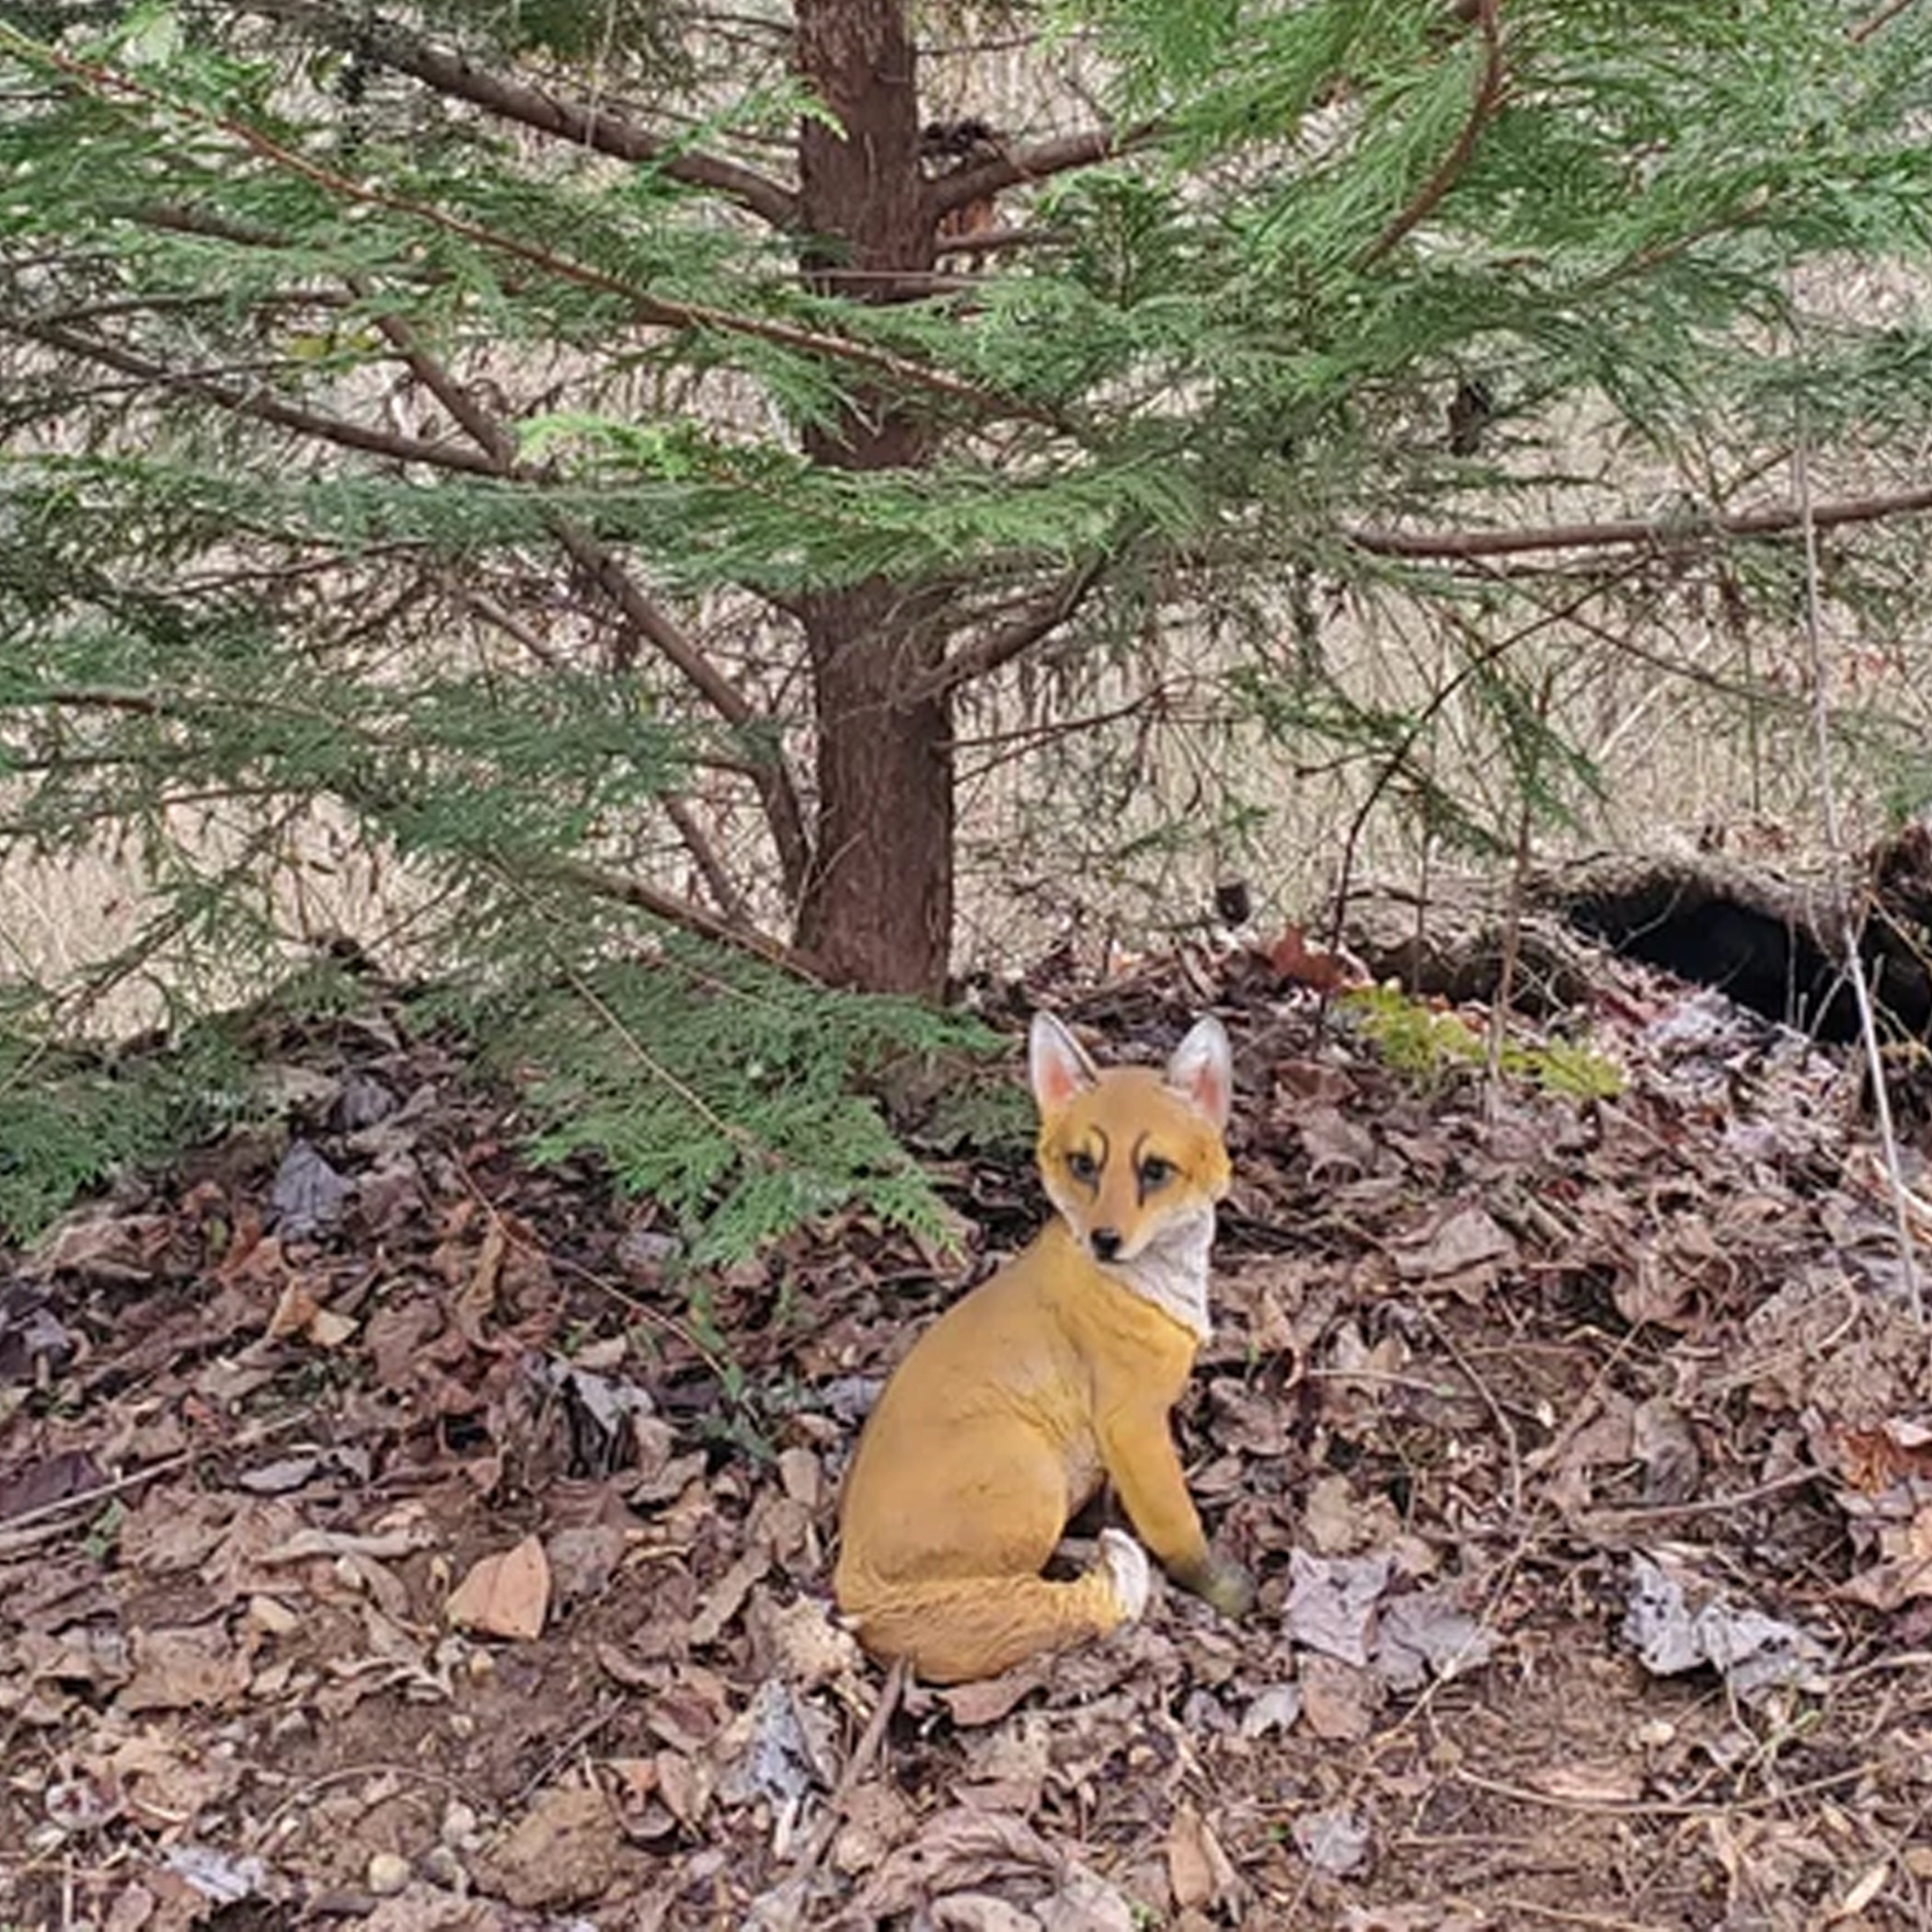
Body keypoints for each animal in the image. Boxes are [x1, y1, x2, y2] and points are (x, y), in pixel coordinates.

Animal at [833, 1011, 1254, 1683]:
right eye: (1084, 1164)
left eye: (1154, 1170)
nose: (1105, 1239)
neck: (1157, 1287)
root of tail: (851, 1576)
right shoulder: (1130, 1422)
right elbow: (1176, 1524)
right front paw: (1216, 1588)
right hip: (1031, 1471)